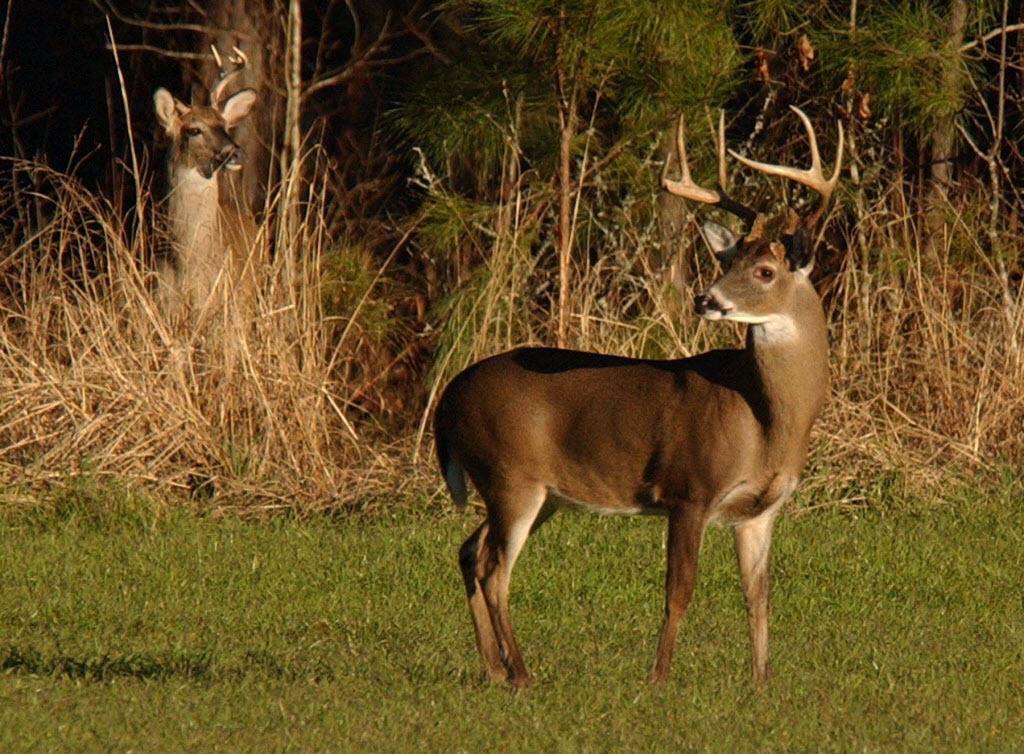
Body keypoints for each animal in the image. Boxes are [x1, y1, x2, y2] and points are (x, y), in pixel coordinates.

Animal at [433, 106, 843, 688]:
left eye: (764, 271)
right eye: (726, 264)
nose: (704, 299)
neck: (764, 420)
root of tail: (447, 396)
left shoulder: (760, 509)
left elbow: (758, 597)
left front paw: (762, 683)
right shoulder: (689, 488)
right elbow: (679, 592)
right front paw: (660, 678)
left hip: (533, 491)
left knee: (469, 552)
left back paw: (495, 670)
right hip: (509, 475)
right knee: (494, 569)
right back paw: (523, 675)